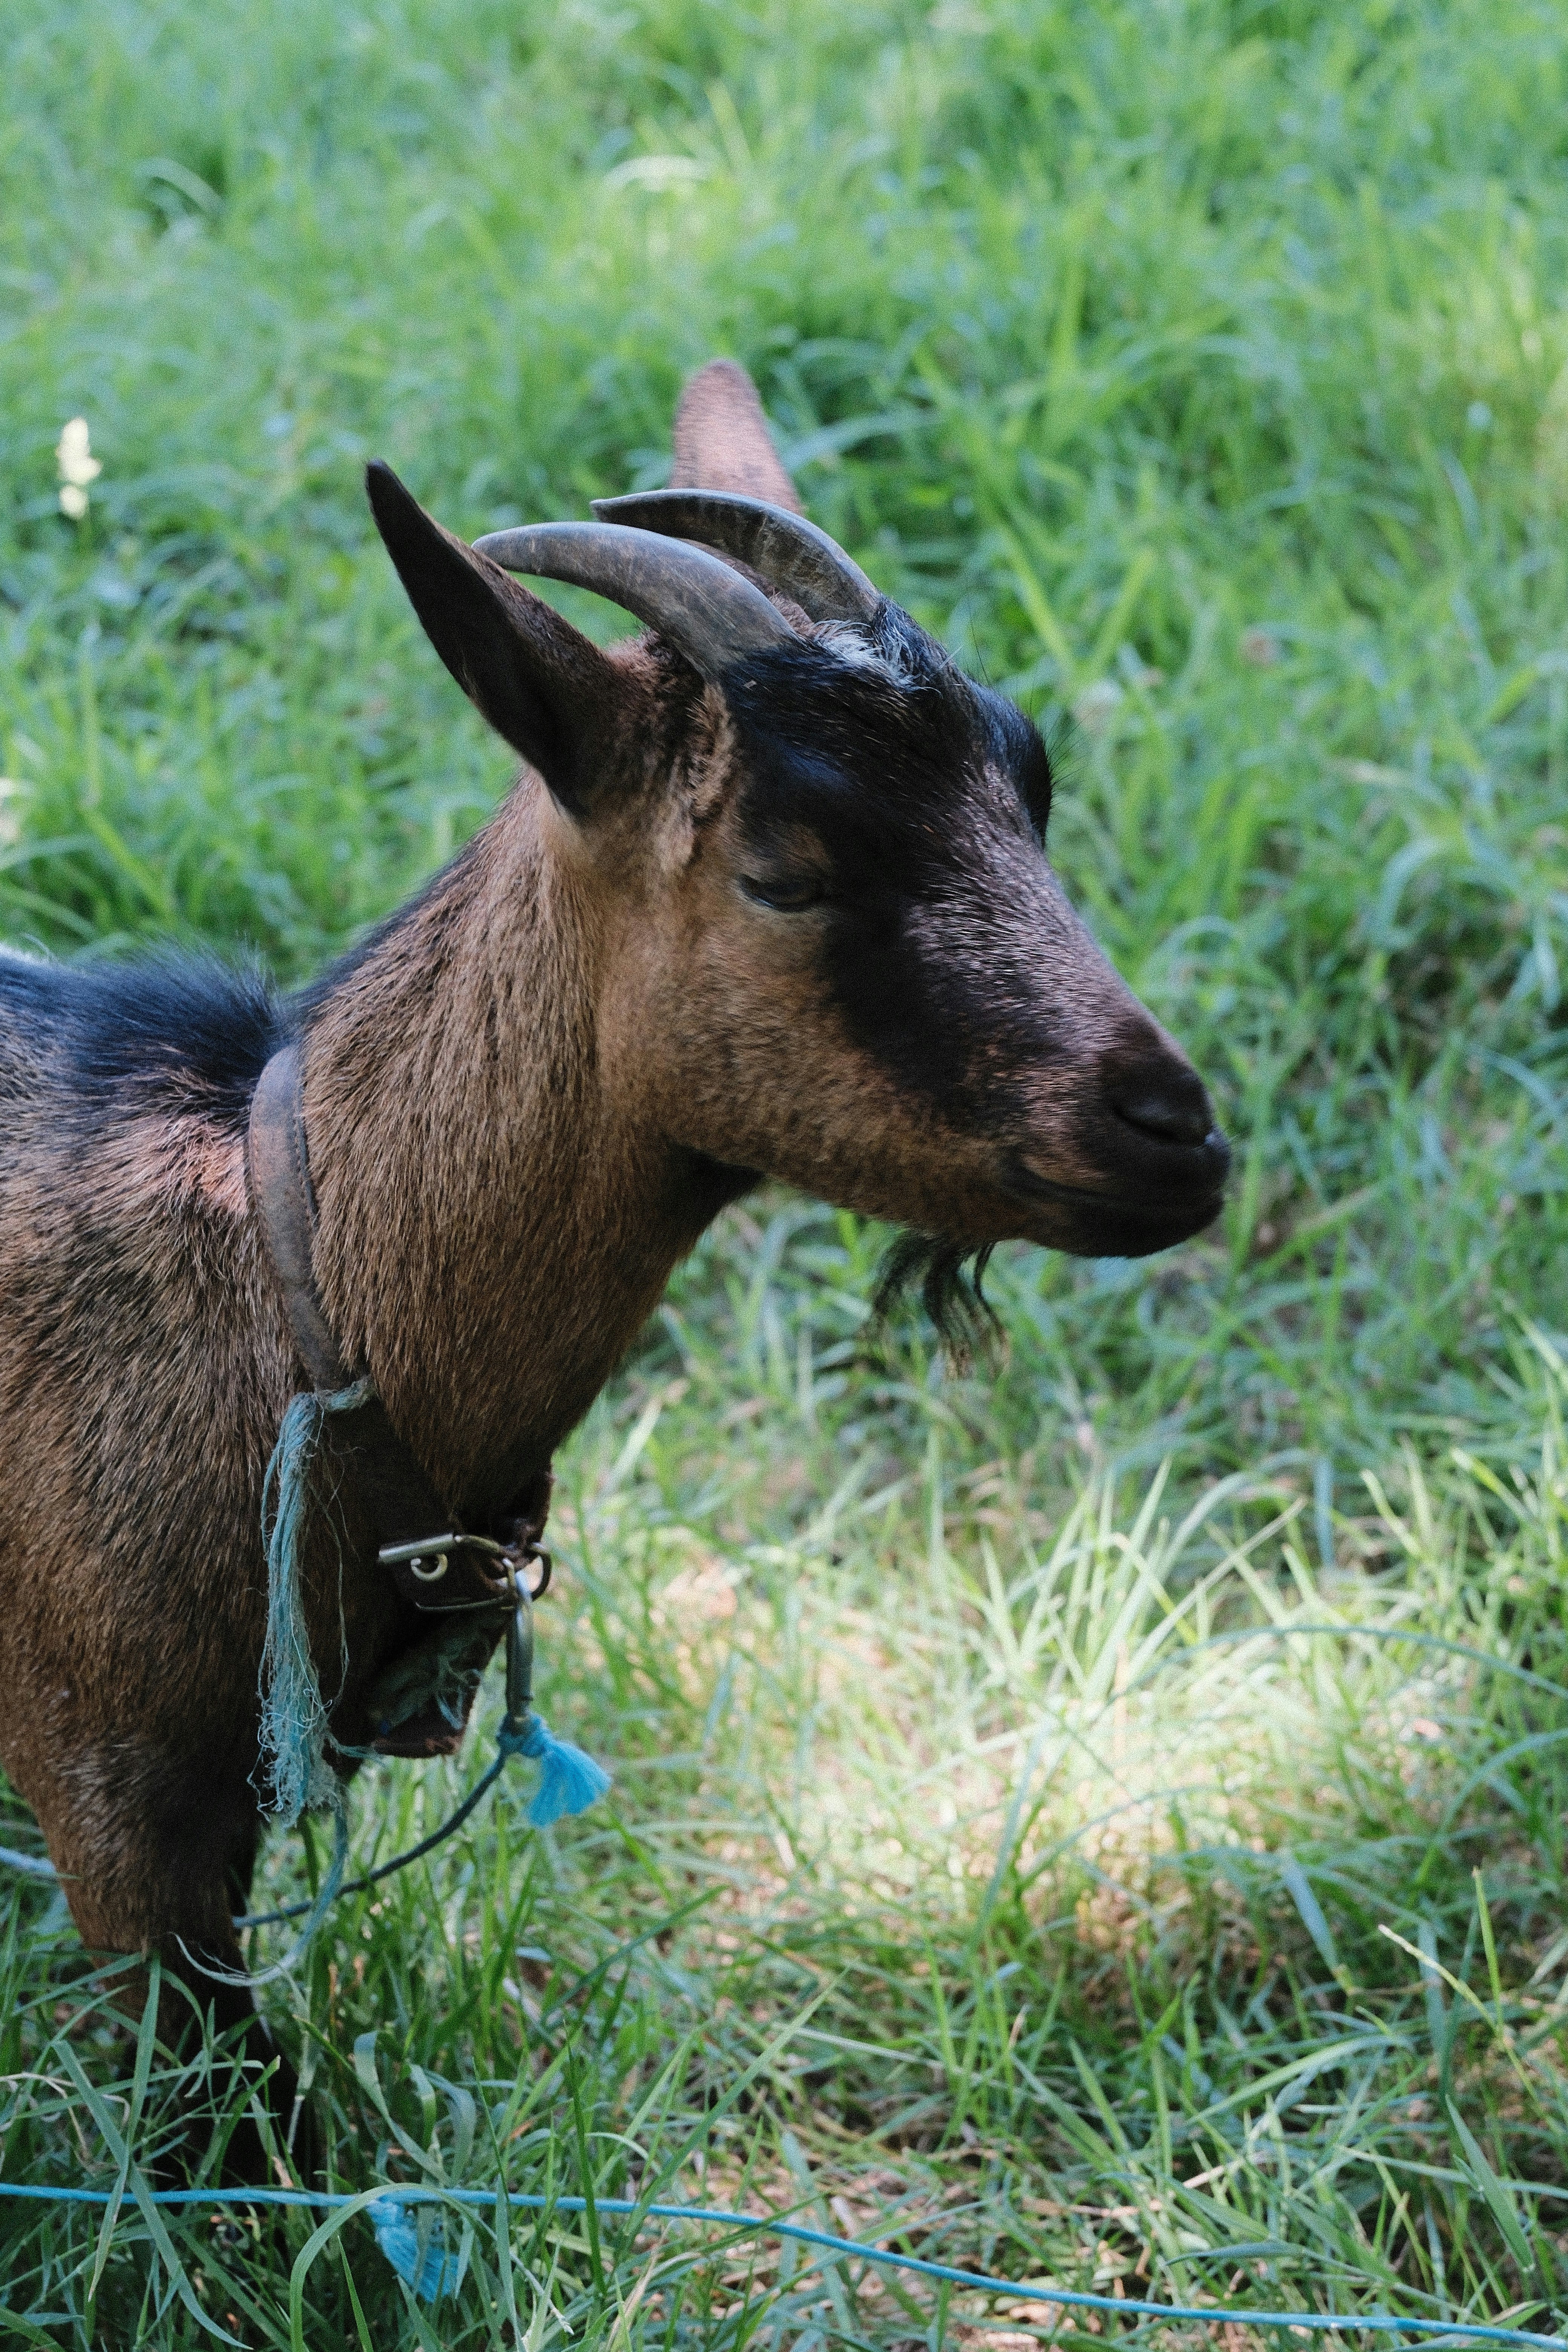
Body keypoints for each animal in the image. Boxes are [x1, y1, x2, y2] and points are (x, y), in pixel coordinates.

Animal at [0, 361, 1227, 2171]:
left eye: (1035, 790)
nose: (1178, 1138)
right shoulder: (116, 1805)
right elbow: (229, 2134)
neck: (280, 1286)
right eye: (784, 871)